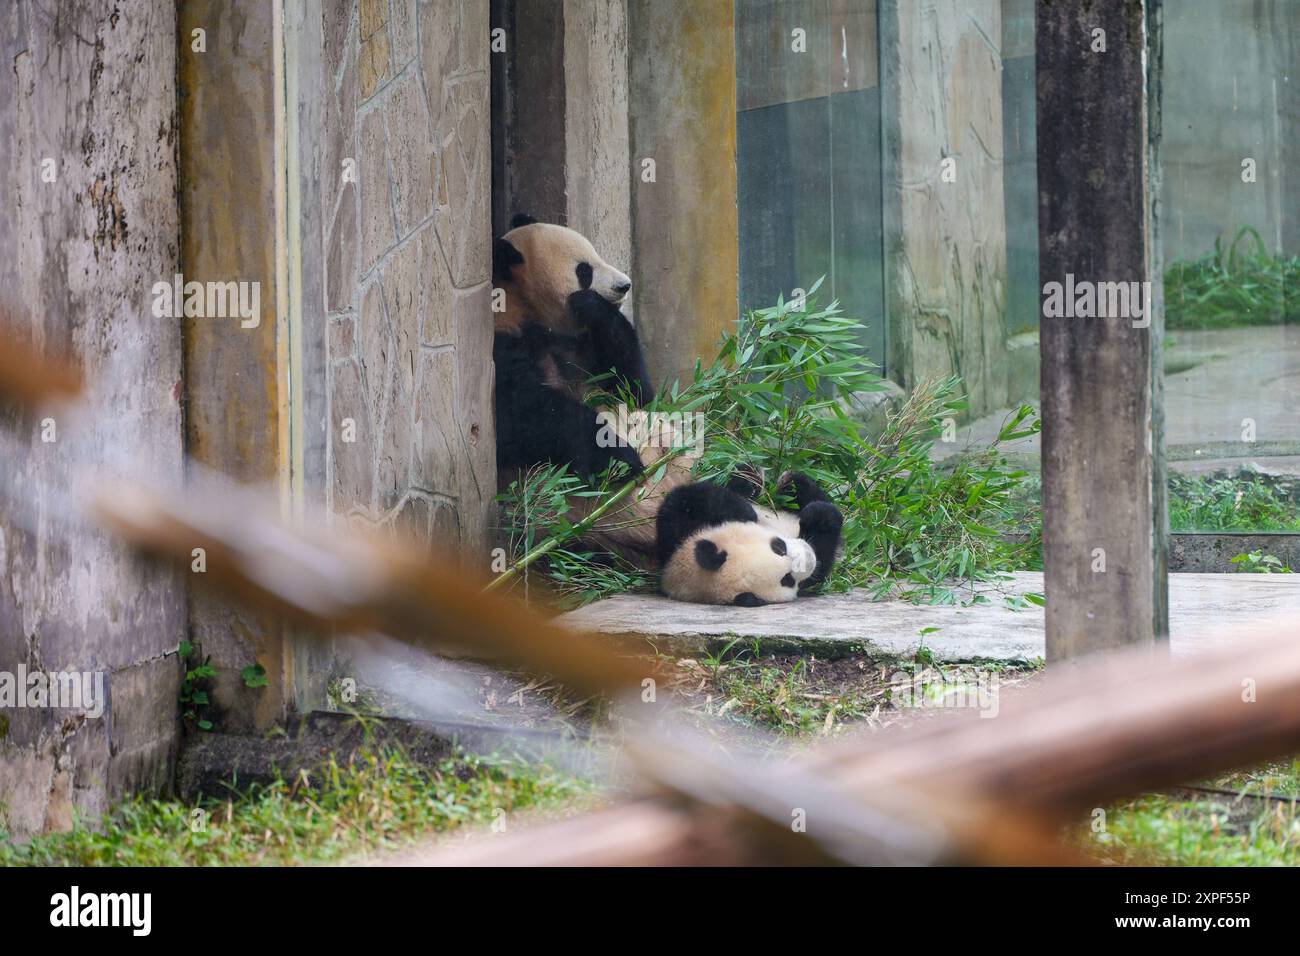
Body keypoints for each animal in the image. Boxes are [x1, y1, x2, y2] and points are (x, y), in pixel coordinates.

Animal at [492, 213, 652, 484]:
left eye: (598, 254)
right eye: (584, 271)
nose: (624, 285)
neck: (524, 305)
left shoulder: (579, 344)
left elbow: (634, 391)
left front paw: (592, 305)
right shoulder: (503, 342)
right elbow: (525, 413)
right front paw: (619, 459)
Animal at [656, 470, 844, 606]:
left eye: (779, 547)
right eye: (787, 580)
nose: (809, 556)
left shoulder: (676, 538)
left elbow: (683, 499)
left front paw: (745, 512)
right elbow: (822, 563)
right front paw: (821, 517)